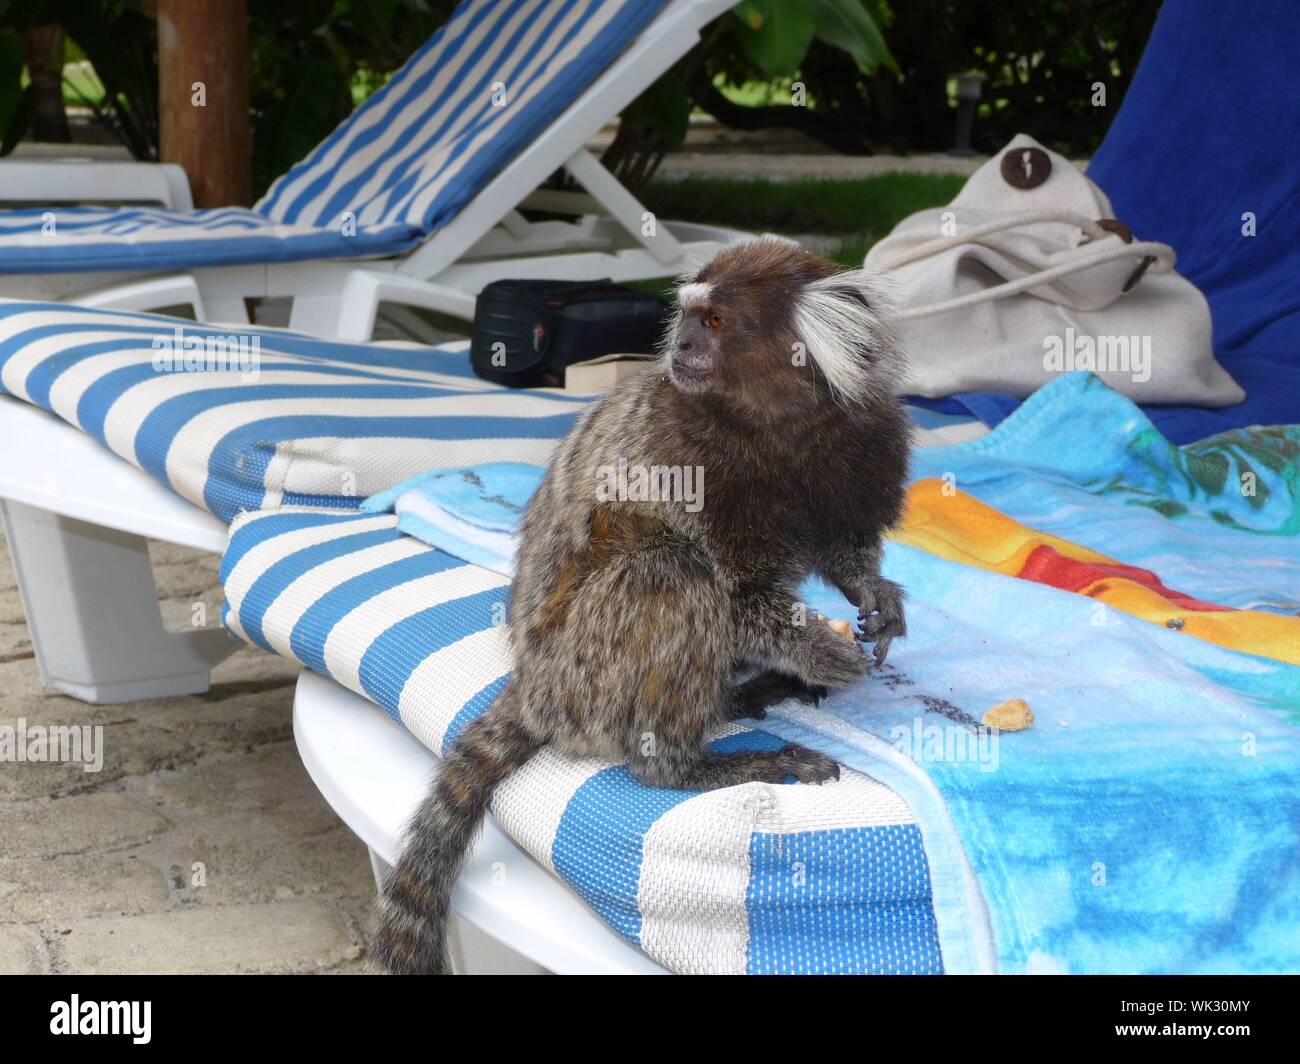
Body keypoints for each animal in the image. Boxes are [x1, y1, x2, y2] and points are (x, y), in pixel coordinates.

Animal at [373, 237, 911, 975]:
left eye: (714, 322)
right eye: (686, 317)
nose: (680, 345)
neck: (778, 427)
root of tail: (531, 685)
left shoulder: (864, 441)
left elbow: (845, 551)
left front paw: (876, 599)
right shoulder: (676, 454)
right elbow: (734, 594)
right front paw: (814, 649)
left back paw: (740, 697)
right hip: (583, 672)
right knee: (671, 573)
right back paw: (701, 763)